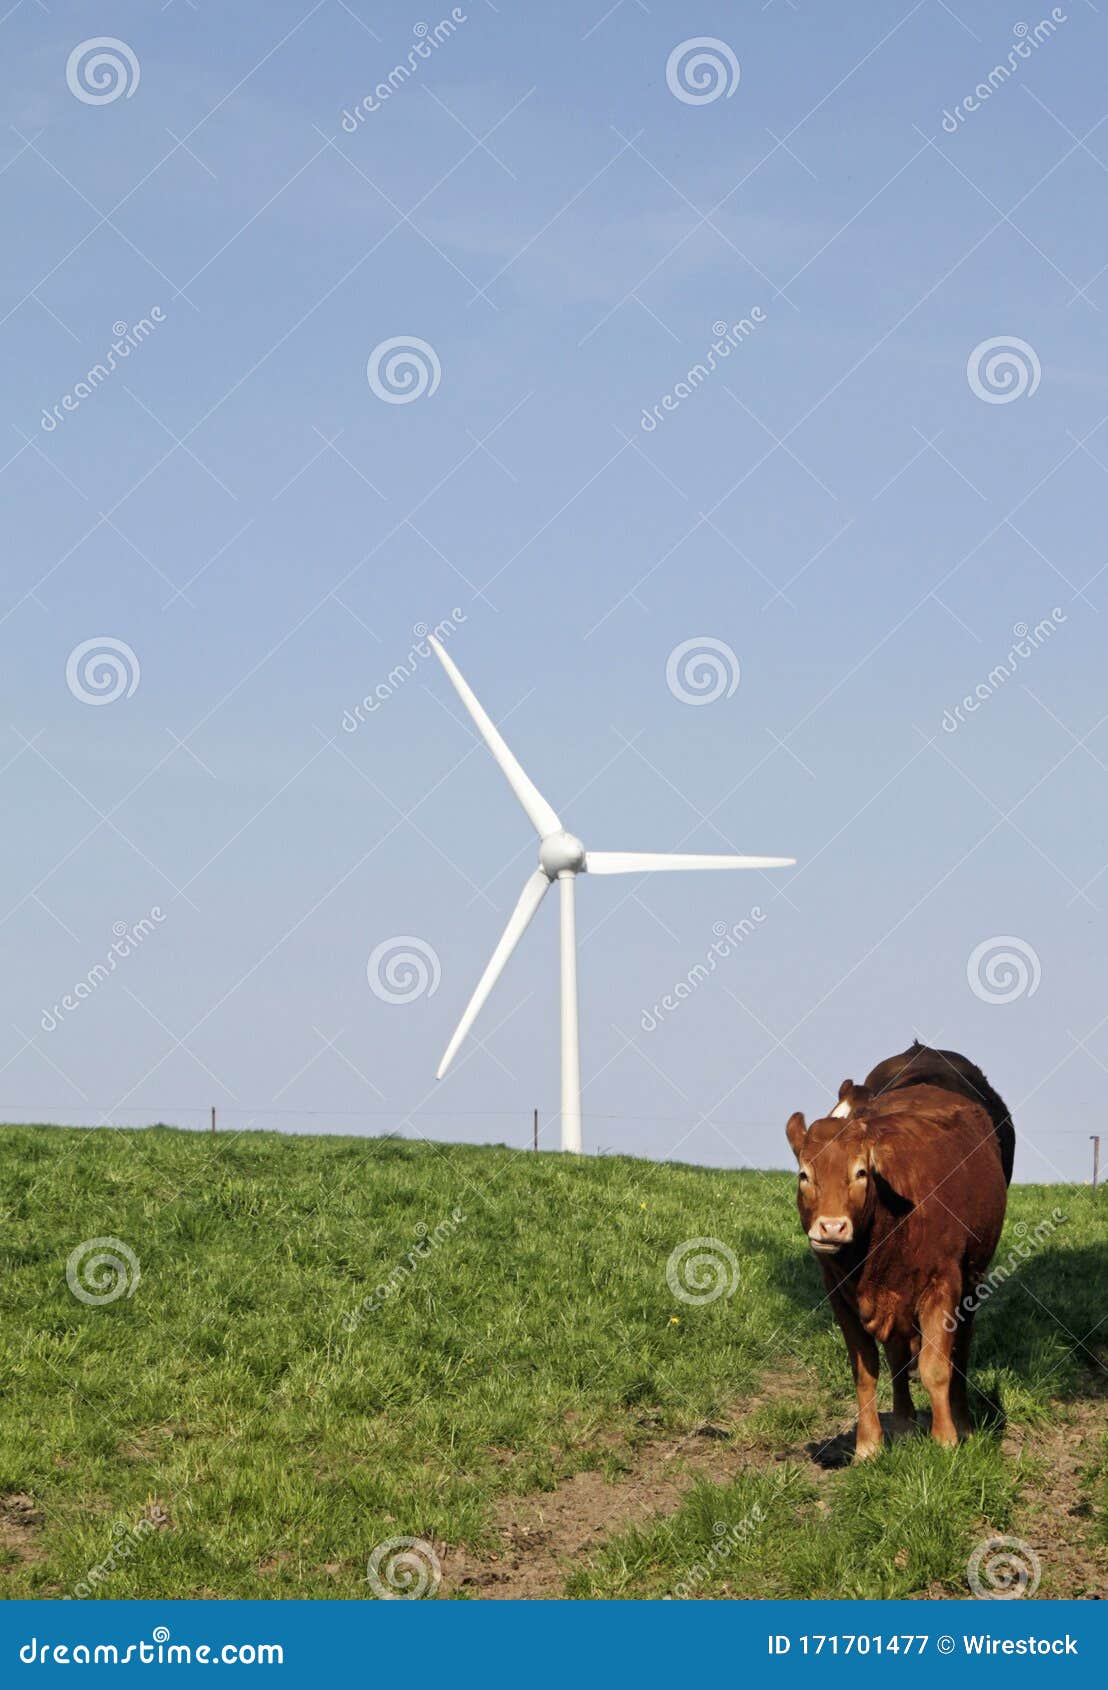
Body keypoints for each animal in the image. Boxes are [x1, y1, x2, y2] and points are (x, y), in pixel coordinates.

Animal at [786, 1084, 1008, 1459]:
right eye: (804, 1174)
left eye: (861, 1172)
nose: (832, 1228)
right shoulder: (839, 1295)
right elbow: (866, 1370)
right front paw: (868, 1445)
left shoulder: (943, 1285)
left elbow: (936, 1368)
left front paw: (945, 1440)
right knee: (898, 1356)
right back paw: (904, 1425)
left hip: (971, 1282)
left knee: (960, 1353)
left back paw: (962, 1423)